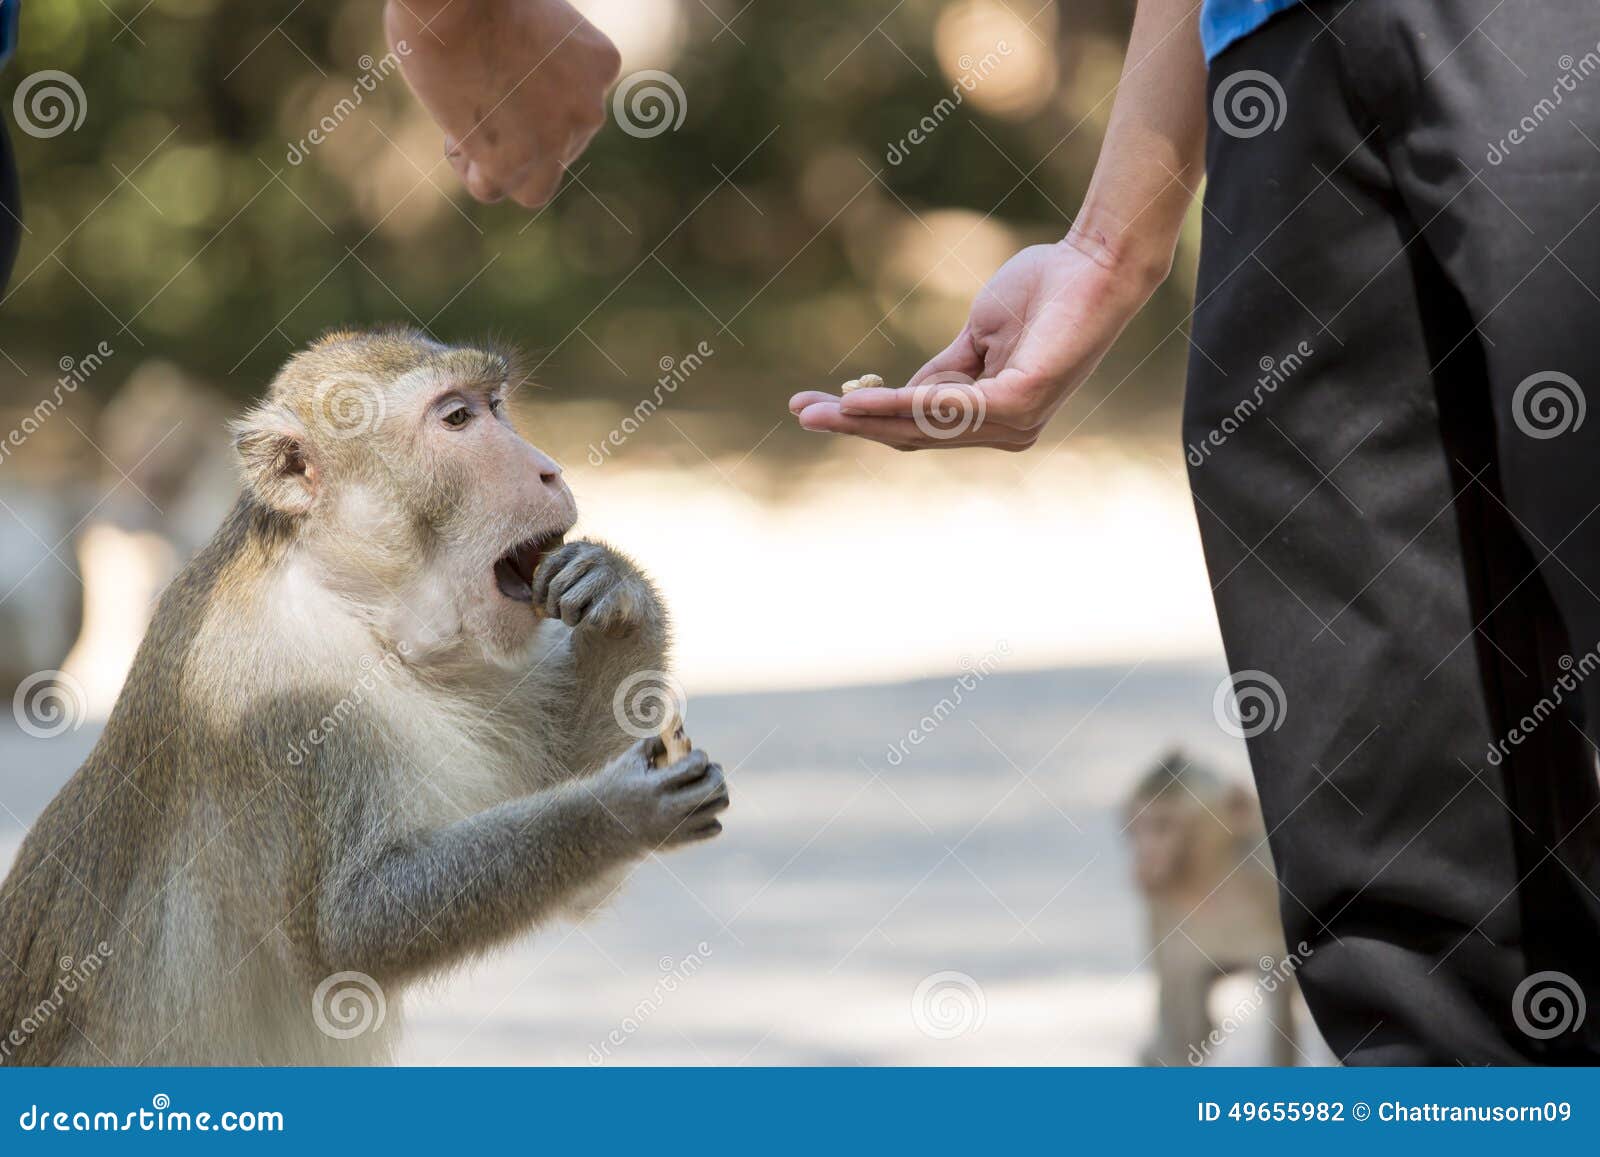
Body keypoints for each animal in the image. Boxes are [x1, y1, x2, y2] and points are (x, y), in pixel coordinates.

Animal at [0, 326, 728, 1066]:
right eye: (457, 418)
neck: (358, 604)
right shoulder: (279, 697)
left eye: (495, 405)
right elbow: (350, 934)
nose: (549, 470)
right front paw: (621, 809)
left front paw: (618, 592)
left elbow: (581, 877)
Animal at [1123, 748, 1298, 1067]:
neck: (1212, 883)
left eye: (1164, 825)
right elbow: (1186, 1021)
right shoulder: (1164, 915)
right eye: (1139, 825)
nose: (1144, 860)